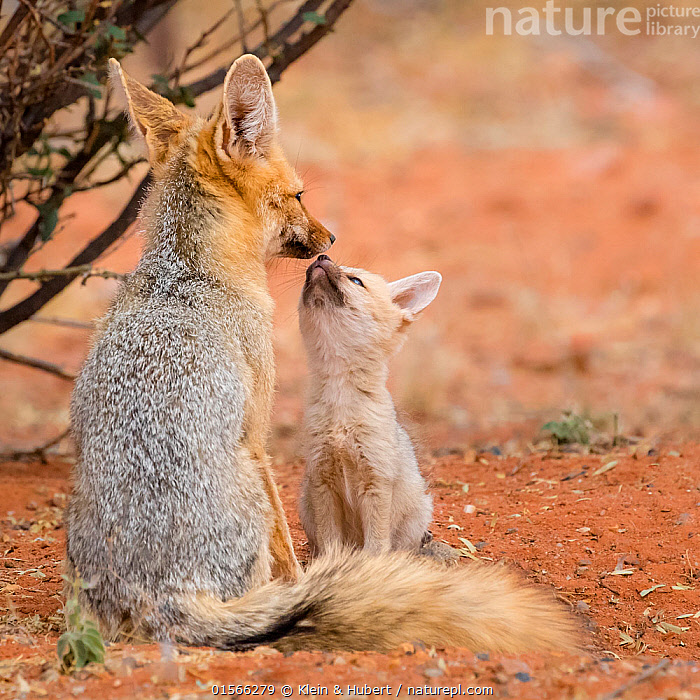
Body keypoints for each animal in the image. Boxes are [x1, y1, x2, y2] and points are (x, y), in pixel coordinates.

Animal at [298, 255, 440, 556]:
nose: (322, 257)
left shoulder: (376, 481)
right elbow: (330, 542)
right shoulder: (320, 478)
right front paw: (332, 563)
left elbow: (376, 544)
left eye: (356, 281)